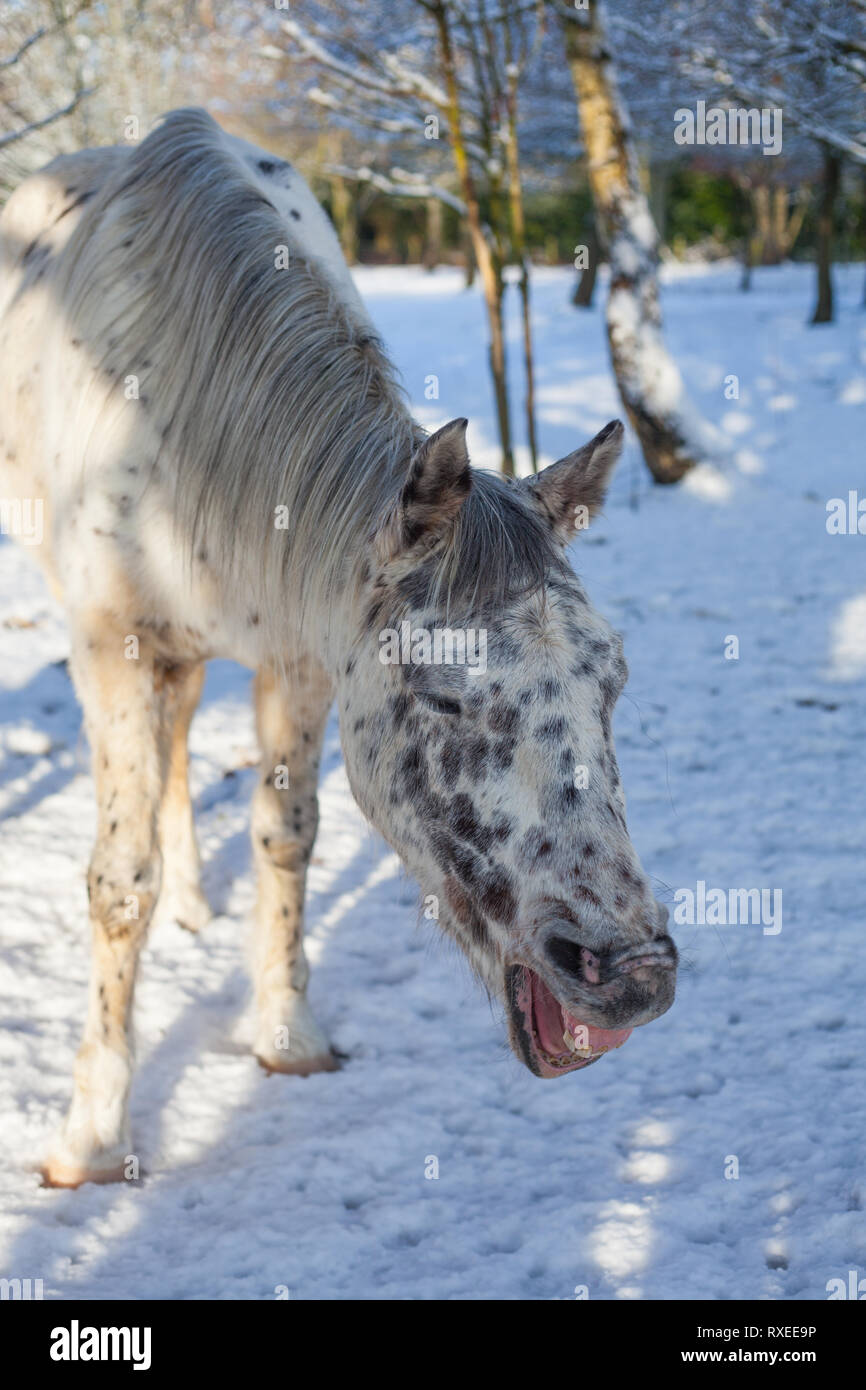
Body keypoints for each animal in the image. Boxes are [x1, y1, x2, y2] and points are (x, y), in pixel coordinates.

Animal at [0, 108, 677, 1187]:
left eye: (611, 684)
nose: (631, 972)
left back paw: (199, 903)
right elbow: (118, 881)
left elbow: (288, 836)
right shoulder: (111, 644)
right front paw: (93, 1138)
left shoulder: (301, 660)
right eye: (440, 693)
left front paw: (287, 1037)